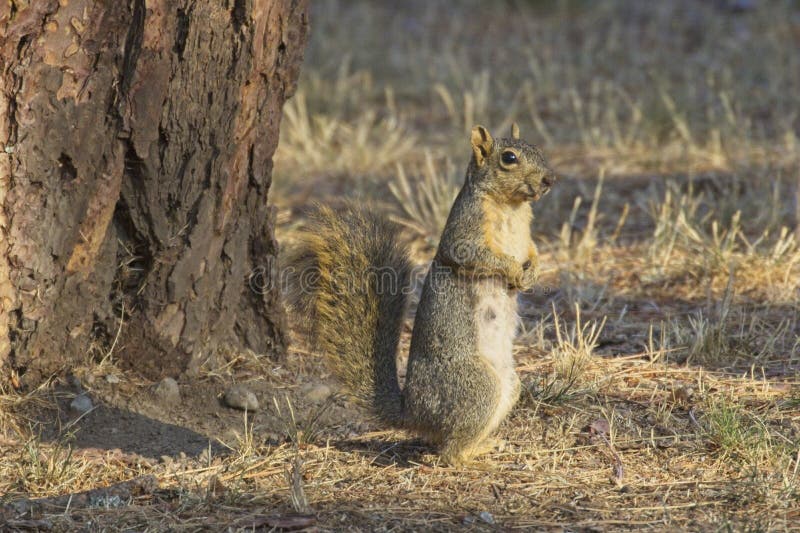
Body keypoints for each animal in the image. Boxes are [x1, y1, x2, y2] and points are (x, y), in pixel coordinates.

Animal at [288, 123, 557, 465]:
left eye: (536, 148)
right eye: (509, 158)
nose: (549, 179)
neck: (512, 207)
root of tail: (412, 413)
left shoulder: (527, 236)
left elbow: (533, 251)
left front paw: (531, 273)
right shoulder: (465, 230)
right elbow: (473, 254)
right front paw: (512, 271)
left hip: (509, 385)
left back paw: (484, 444)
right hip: (477, 387)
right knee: (448, 451)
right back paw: (472, 455)